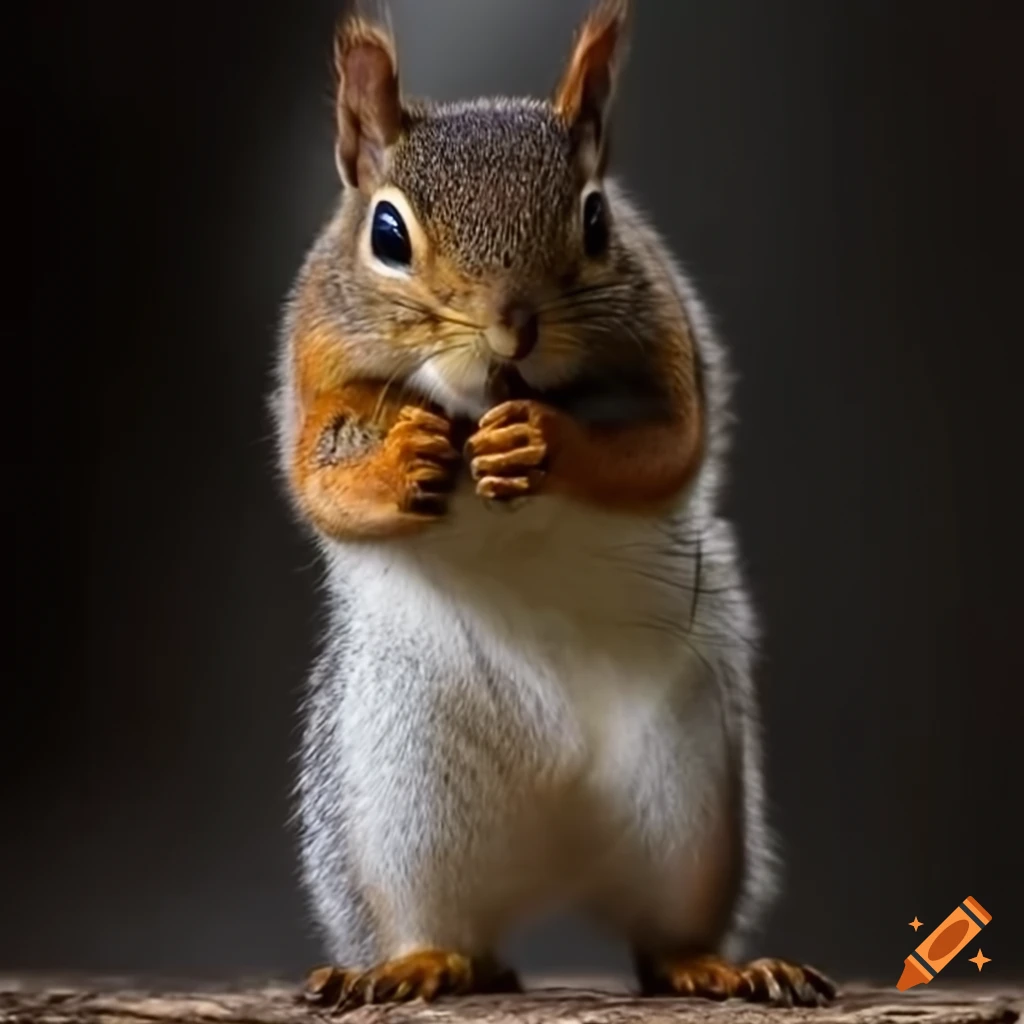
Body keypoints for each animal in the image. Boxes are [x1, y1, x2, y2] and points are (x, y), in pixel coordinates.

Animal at [273, 0, 836, 1011]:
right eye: (386, 234)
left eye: (597, 218)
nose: (512, 329)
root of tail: (555, 865)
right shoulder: (313, 361)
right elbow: (318, 483)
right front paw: (402, 459)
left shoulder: (667, 341)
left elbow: (667, 446)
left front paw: (541, 441)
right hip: (402, 794)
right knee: (441, 925)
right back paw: (416, 964)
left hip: (689, 804)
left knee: (663, 937)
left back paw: (716, 966)